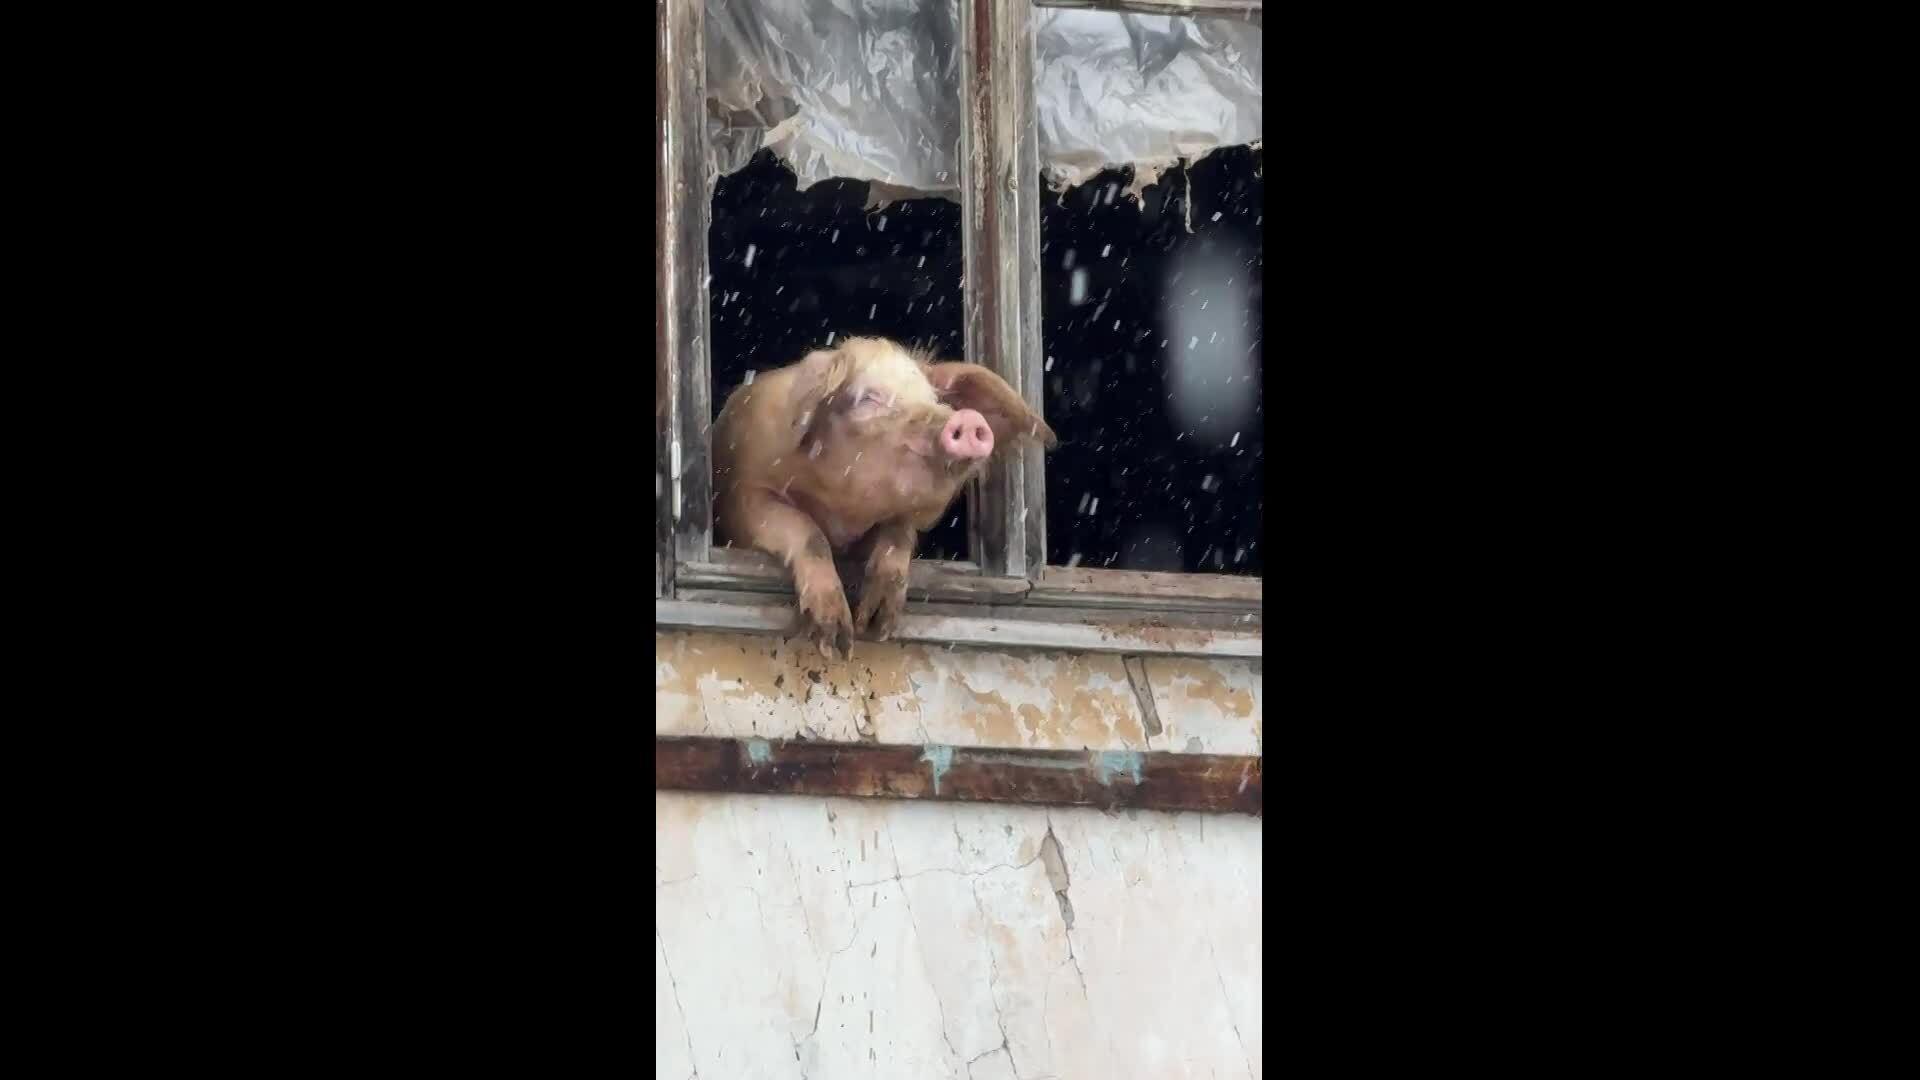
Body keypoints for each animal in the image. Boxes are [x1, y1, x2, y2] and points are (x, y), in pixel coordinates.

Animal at [712, 336, 1057, 658]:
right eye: (868, 398)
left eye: (934, 399)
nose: (968, 419)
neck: (845, 512)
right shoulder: (742, 497)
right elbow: (805, 529)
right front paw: (836, 643)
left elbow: (898, 532)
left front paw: (876, 626)